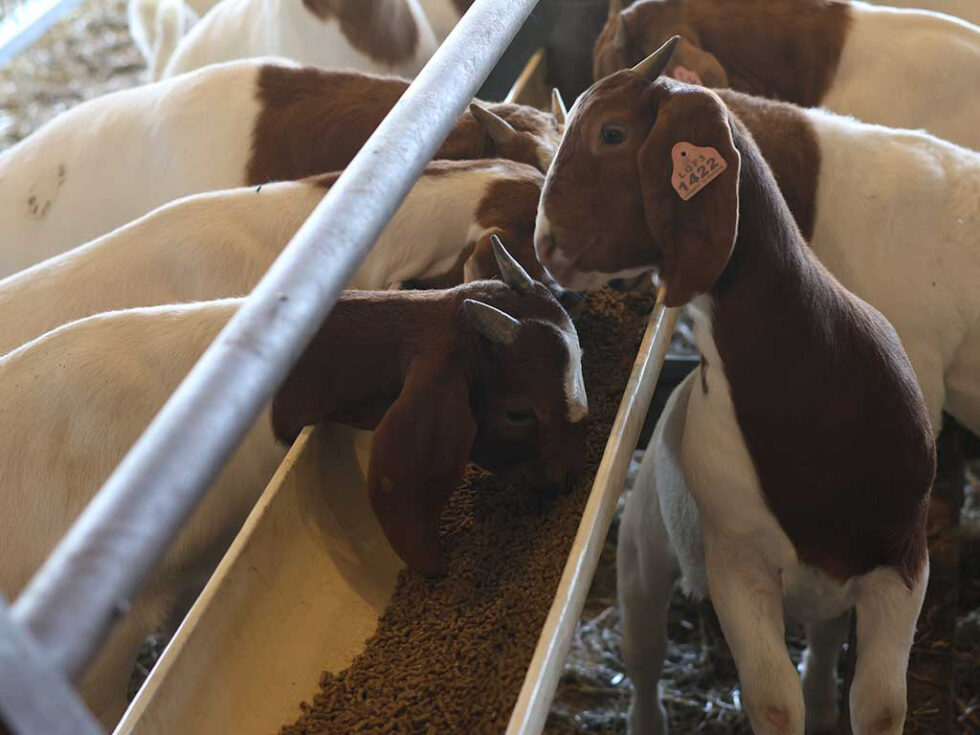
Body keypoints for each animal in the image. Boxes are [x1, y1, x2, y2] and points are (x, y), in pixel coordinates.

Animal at [535, 47, 935, 734]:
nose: (543, 244)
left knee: (824, 643)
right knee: (645, 653)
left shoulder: (902, 560)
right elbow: (773, 701)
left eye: (611, 133)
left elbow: (881, 705)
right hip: (643, 546)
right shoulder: (737, 567)